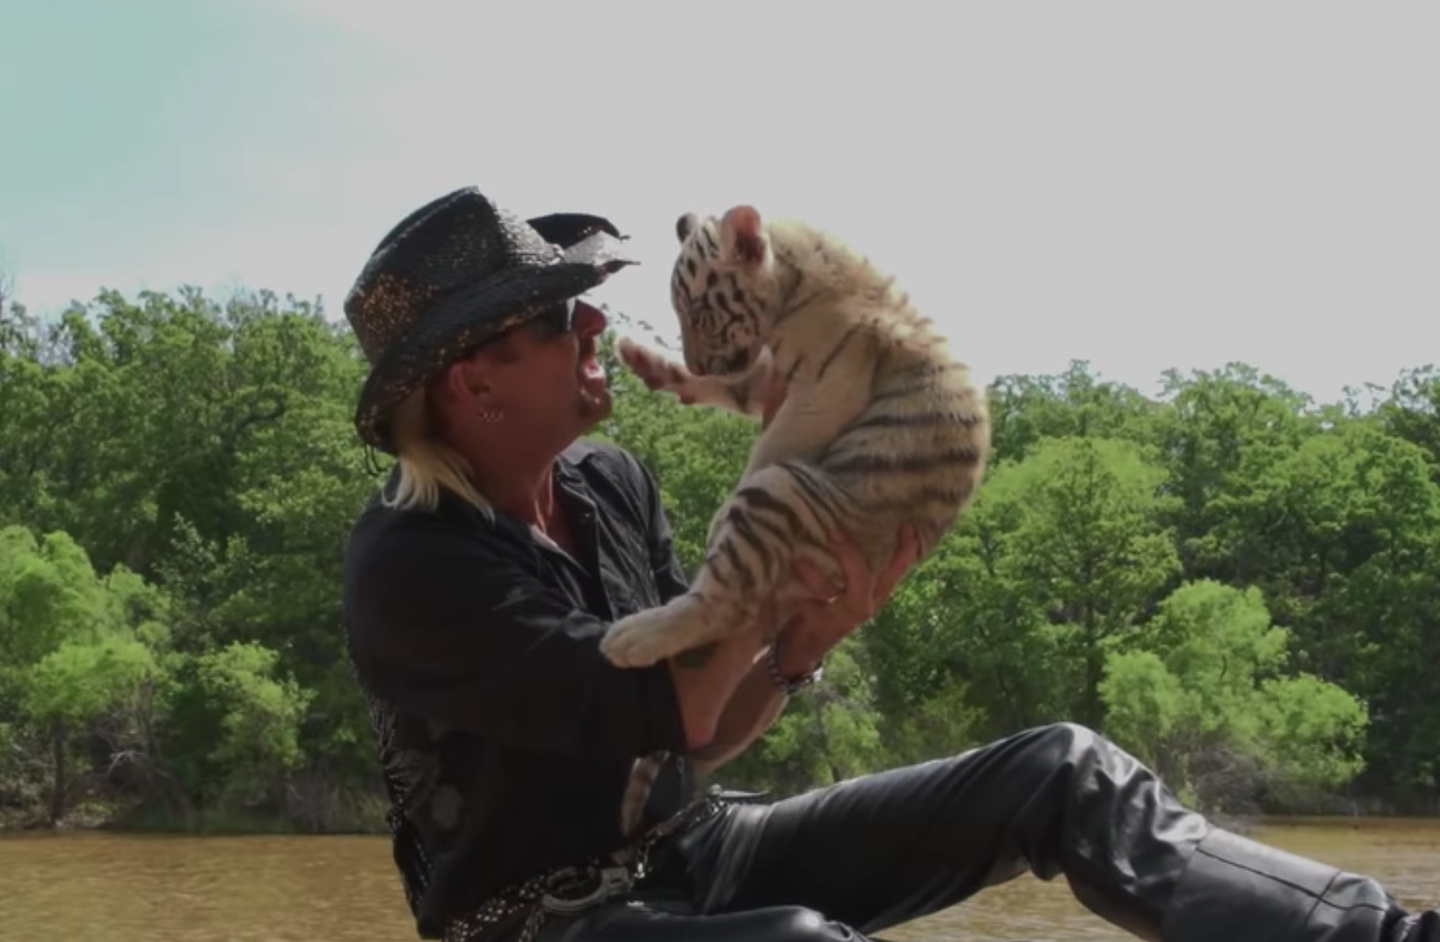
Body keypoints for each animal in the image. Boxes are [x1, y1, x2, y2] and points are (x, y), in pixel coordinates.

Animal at [597, 203, 990, 671]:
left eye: (699, 316)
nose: (697, 365)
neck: (789, 289)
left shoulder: (825, 390)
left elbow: (769, 445)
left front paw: (718, 515)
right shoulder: (772, 373)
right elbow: (736, 384)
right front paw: (648, 362)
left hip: (782, 494)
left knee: (724, 604)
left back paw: (633, 637)